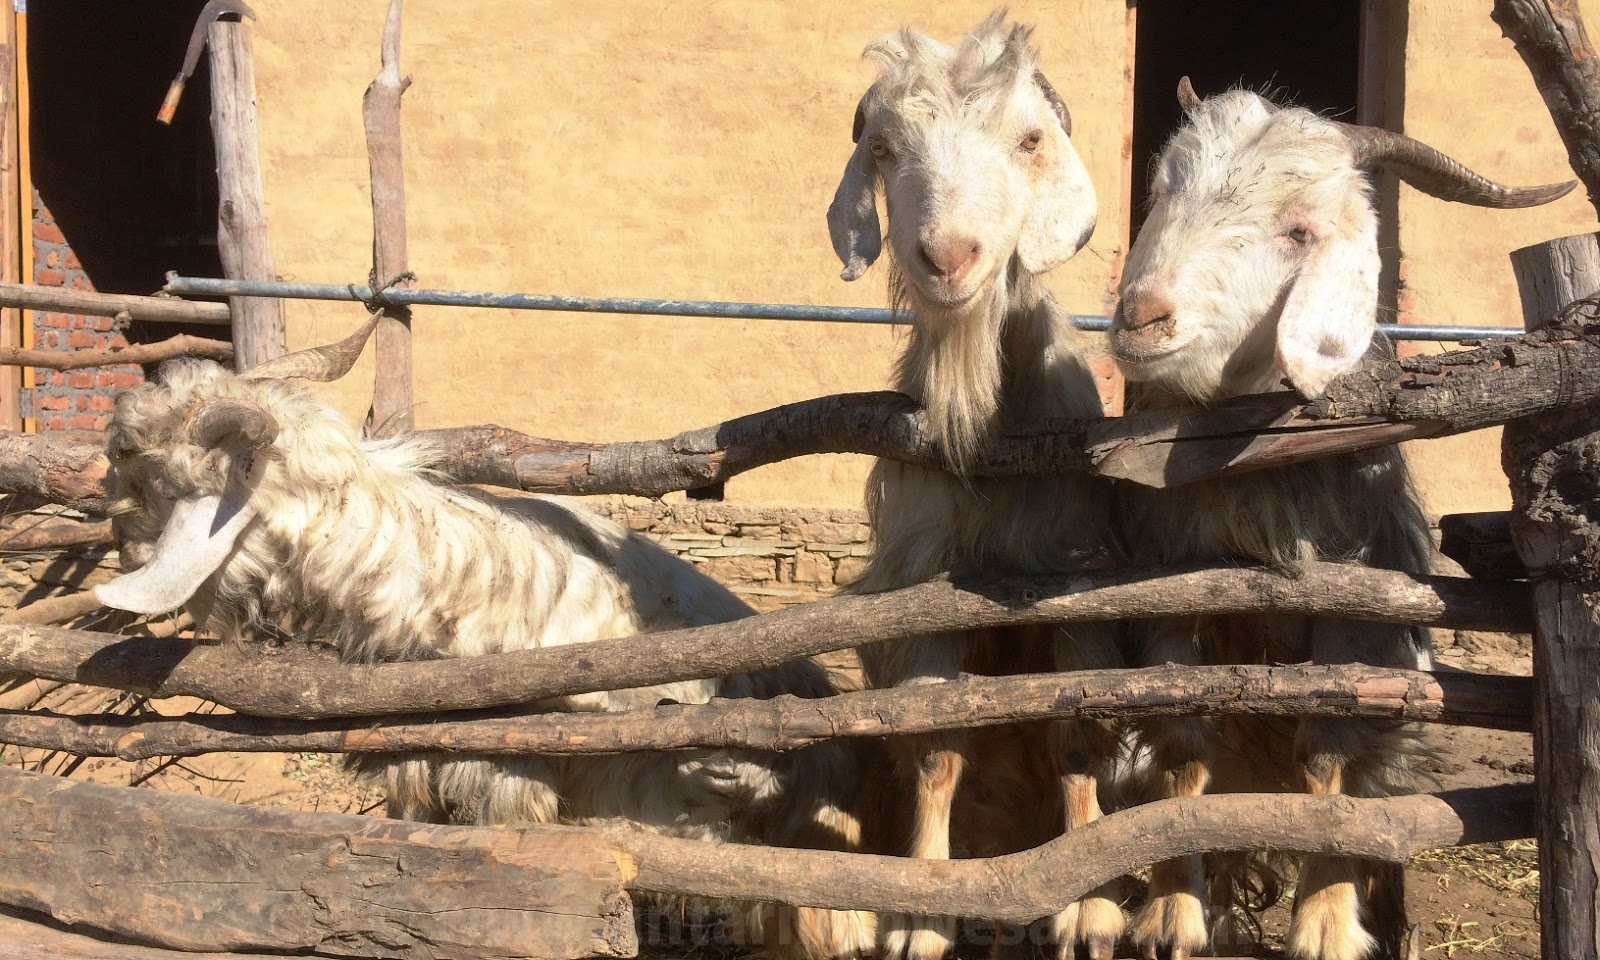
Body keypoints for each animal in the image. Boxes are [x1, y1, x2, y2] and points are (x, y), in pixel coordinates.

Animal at [827, 13, 1124, 960]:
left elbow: (1076, 736)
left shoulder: (1076, 580)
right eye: (885, 148)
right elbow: (935, 750)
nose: (949, 256)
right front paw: (920, 911)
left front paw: (1089, 904)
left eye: (1029, 140)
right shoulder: (920, 589)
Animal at [1109, 79, 1574, 960]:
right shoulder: (1168, 604)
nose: (1142, 318)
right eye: (1161, 193)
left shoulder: (1359, 614)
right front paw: (1171, 916)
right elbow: (1183, 748)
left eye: (1300, 230)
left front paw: (1325, 925)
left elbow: (1329, 754)